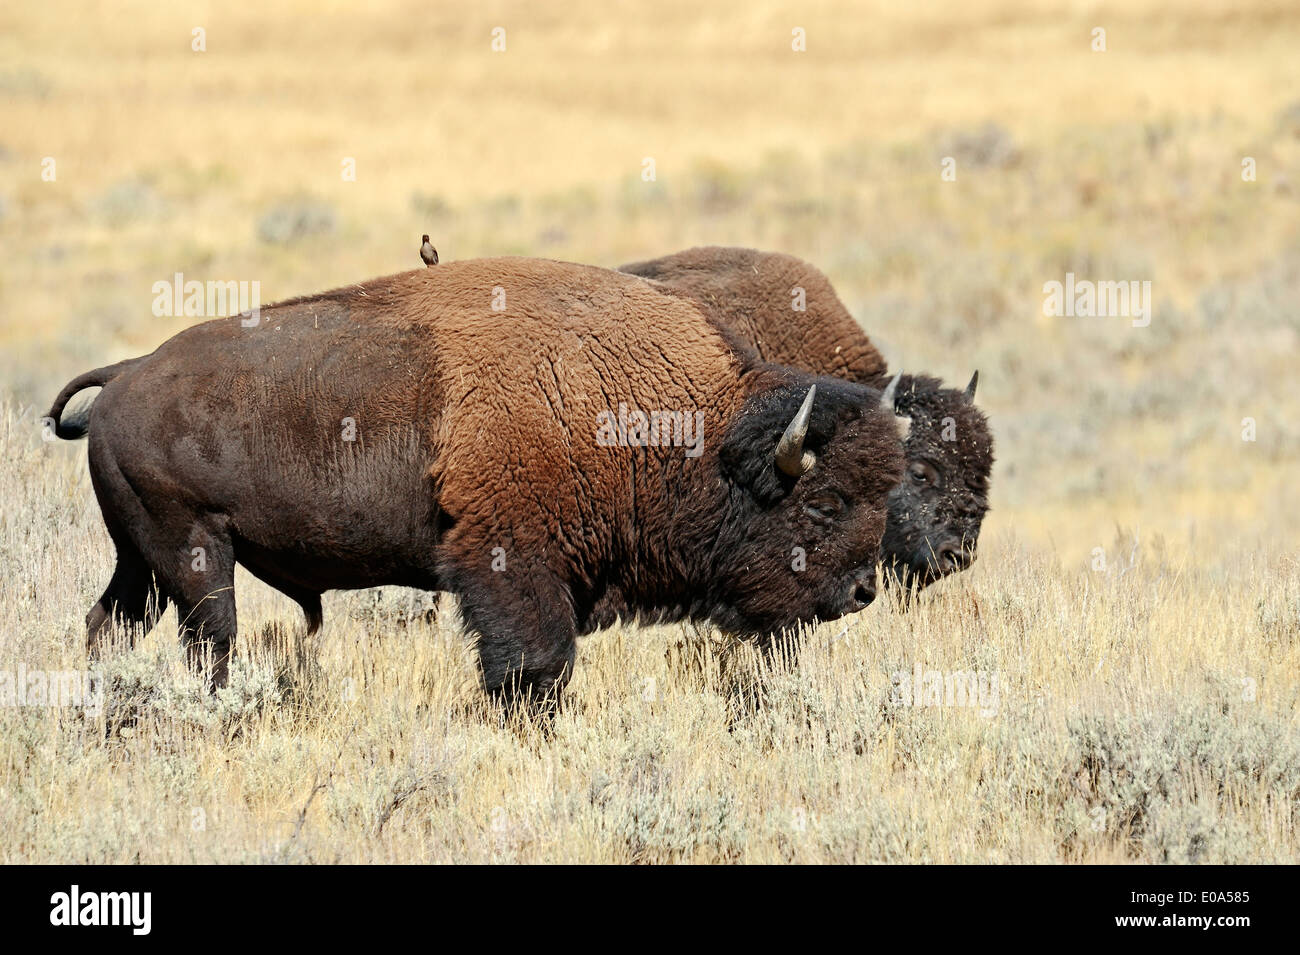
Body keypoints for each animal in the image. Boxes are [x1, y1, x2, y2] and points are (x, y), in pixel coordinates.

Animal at [47, 257, 906, 702]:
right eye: (825, 501)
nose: (864, 590)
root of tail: (125, 376)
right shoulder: (509, 566)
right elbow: (534, 665)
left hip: (143, 561)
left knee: (108, 622)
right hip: (194, 551)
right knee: (211, 640)